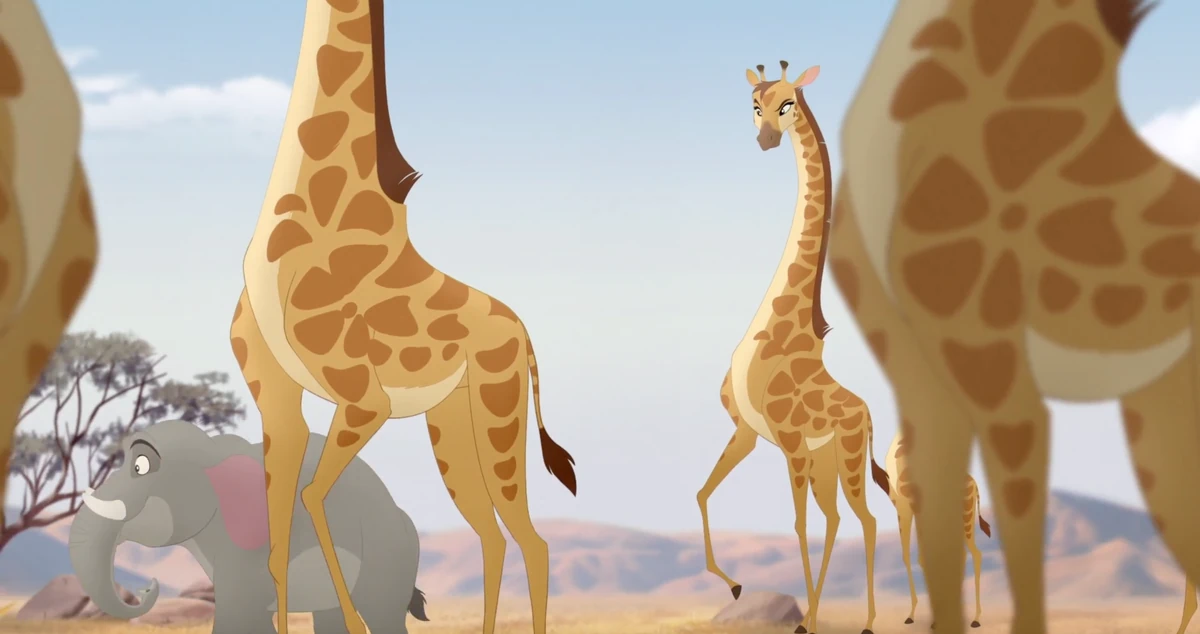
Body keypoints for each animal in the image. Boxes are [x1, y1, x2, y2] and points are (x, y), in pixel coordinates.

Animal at [229, 1, 576, 633]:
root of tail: (525, 335)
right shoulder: (274, 398)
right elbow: (276, 538)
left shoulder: (364, 398)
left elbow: (312, 498)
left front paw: (359, 622)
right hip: (452, 426)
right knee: (492, 536)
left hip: (498, 411)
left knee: (532, 541)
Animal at [696, 60, 891, 634]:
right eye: (754, 104)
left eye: (787, 104)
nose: (765, 139)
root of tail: (868, 415)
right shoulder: (748, 432)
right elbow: (703, 492)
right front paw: (735, 585)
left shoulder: (789, 444)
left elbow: (798, 525)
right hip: (826, 463)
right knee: (841, 518)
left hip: (843, 459)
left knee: (864, 519)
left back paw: (862, 619)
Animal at [883, 431, 991, 629]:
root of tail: (974, 483)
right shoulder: (903, 507)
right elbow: (913, 557)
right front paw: (914, 615)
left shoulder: (911, 507)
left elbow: (919, 557)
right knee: (964, 554)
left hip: (965, 516)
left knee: (975, 553)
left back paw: (975, 619)